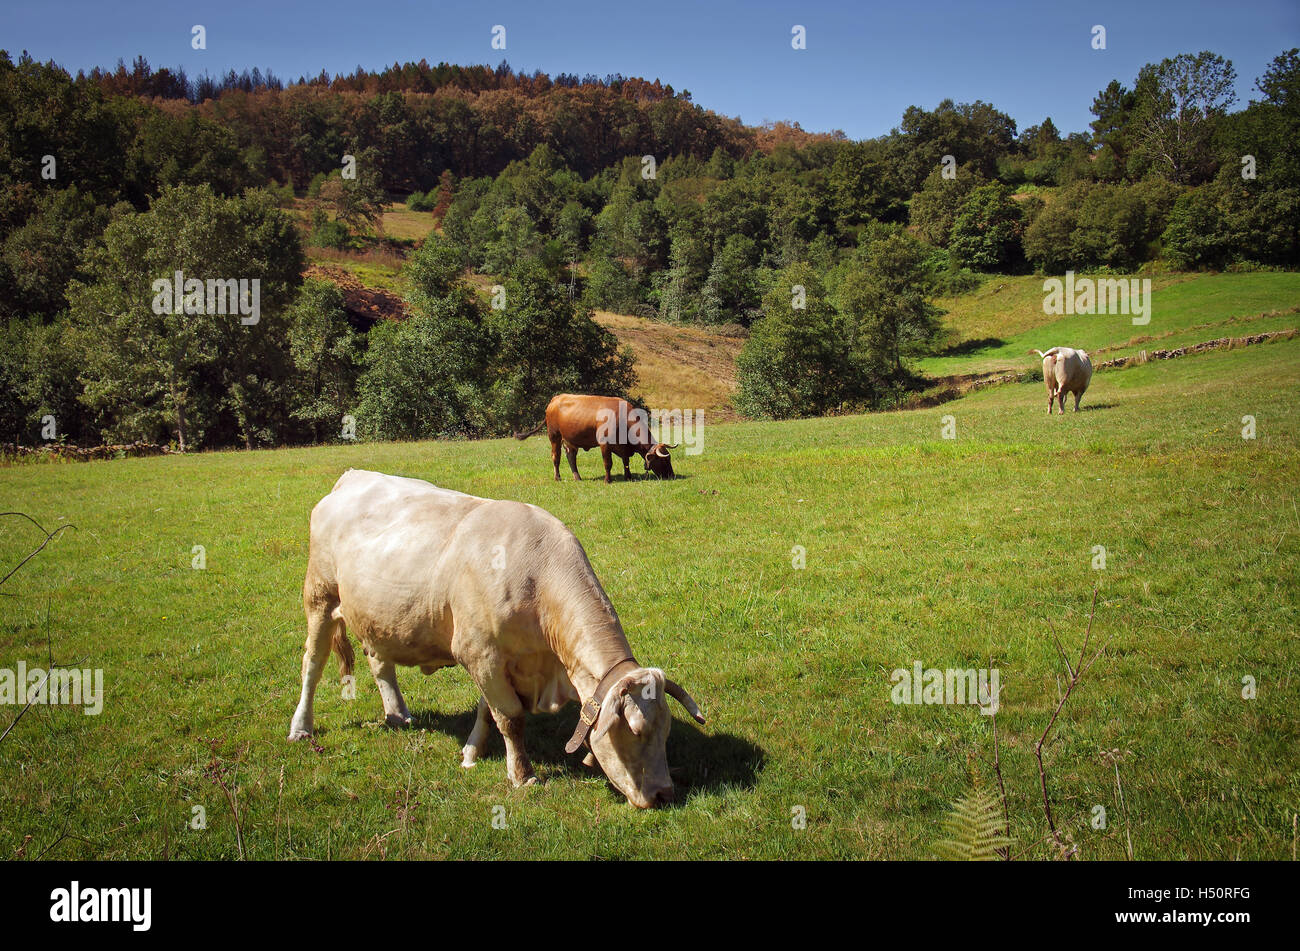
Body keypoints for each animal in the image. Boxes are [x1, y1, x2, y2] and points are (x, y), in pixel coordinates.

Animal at [288, 469, 705, 808]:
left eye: (667, 730)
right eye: (636, 730)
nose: (664, 794)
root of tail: (352, 476)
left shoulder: (496, 660)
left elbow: (486, 710)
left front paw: (471, 752)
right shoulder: (480, 654)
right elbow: (510, 718)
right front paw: (522, 775)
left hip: (378, 618)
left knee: (379, 663)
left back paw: (398, 713)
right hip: (320, 598)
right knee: (312, 663)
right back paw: (301, 727)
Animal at [535, 394, 676, 482]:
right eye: (664, 460)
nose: (672, 476)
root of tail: (556, 398)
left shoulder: (623, 448)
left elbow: (626, 462)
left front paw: (628, 477)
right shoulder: (605, 444)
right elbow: (608, 463)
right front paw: (608, 480)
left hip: (571, 441)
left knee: (571, 458)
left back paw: (577, 477)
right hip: (554, 437)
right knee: (556, 457)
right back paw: (557, 478)